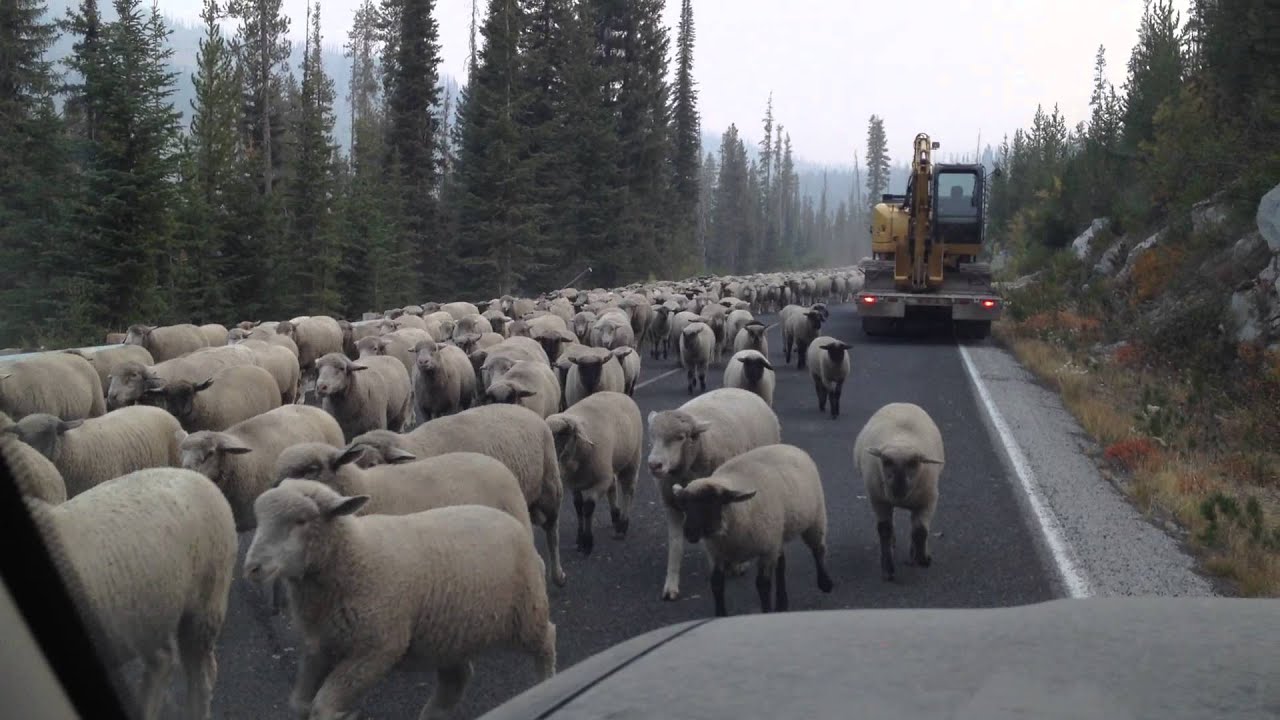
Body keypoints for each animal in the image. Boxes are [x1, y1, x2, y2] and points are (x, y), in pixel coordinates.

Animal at [244, 481, 555, 720]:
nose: (252, 567)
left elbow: (322, 707)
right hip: (449, 634)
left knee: (546, 642)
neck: (355, 556)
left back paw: (546, 683)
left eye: (301, 521)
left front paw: (342, 713)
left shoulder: (376, 650)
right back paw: (433, 714)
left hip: (528, 613)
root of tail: (511, 521)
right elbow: (299, 704)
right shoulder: (319, 647)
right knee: (458, 677)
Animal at [546, 391, 642, 556]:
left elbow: (588, 508)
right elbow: (578, 507)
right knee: (613, 487)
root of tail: (618, 393)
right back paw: (615, 516)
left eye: (564, 435)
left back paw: (622, 526)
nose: (553, 462)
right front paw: (579, 539)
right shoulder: (574, 483)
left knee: (628, 490)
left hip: (632, 459)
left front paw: (587, 542)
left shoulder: (601, 481)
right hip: (610, 465)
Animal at [646, 387, 781, 601]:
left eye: (680, 437)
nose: (654, 465)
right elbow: (675, 546)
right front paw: (671, 586)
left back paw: (738, 564)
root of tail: (742, 390)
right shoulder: (671, 505)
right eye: (652, 436)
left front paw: (728, 567)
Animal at [671, 444, 833, 617]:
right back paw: (782, 604)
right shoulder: (716, 554)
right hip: (778, 532)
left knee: (818, 550)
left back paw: (825, 584)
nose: (690, 532)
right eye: (684, 505)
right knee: (781, 563)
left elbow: (763, 585)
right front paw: (721, 614)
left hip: (815, 518)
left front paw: (766, 611)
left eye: (712, 502)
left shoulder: (766, 550)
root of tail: (789, 446)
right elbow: (716, 584)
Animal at [853, 402, 945, 582]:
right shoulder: (879, 500)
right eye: (885, 461)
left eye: (914, 463)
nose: (898, 489)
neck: (902, 440)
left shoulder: (928, 501)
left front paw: (922, 559)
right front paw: (887, 568)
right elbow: (885, 530)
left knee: (916, 527)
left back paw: (914, 553)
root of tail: (903, 403)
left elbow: (920, 531)